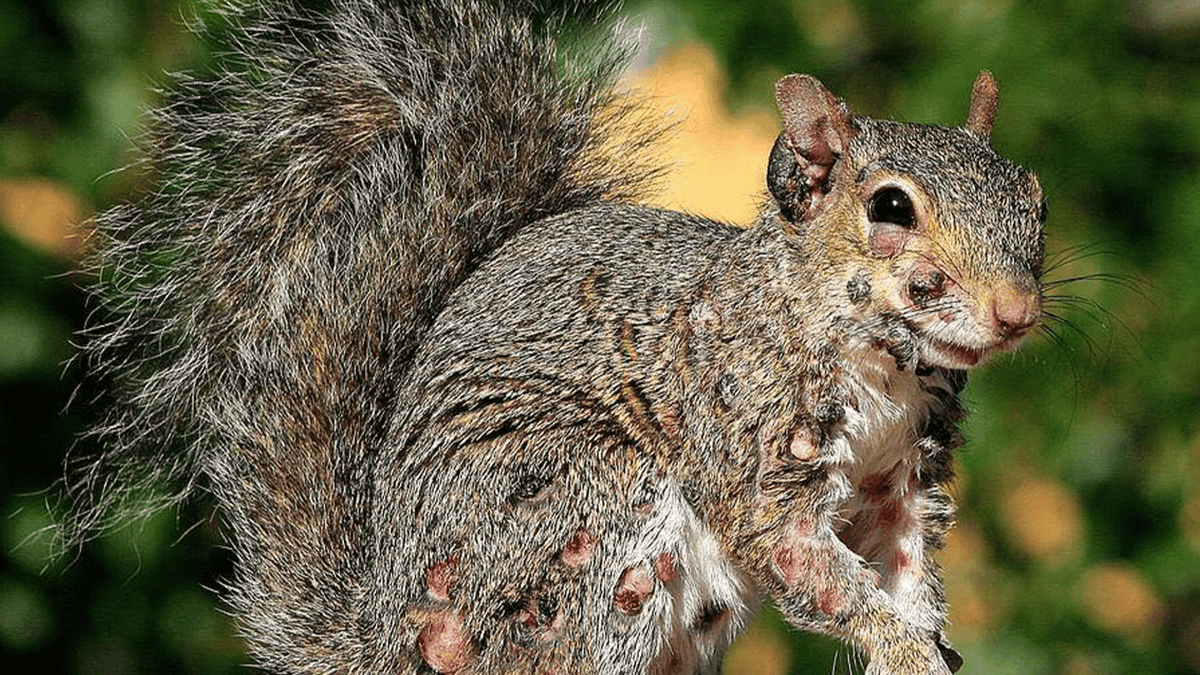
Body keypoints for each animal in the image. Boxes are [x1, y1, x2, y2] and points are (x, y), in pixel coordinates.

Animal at [66, 0, 1048, 673]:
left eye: (1033, 197)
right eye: (891, 208)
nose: (1017, 312)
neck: (883, 366)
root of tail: (391, 632)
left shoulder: (903, 480)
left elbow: (906, 568)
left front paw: (927, 641)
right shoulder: (749, 443)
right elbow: (811, 564)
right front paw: (903, 646)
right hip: (581, 517)